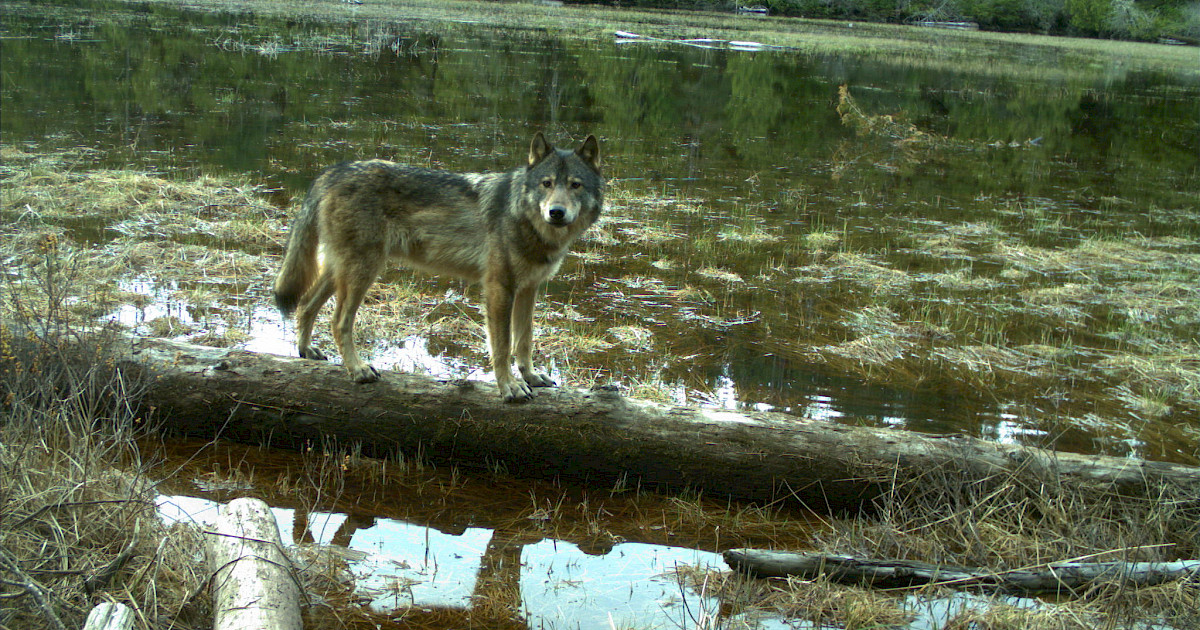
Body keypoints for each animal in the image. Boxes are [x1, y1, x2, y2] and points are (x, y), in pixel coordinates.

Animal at [273, 133, 603, 402]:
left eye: (575, 185)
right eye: (547, 184)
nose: (556, 212)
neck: (525, 220)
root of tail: (333, 170)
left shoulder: (528, 290)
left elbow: (524, 342)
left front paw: (531, 377)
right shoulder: (499, 289)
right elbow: (502, 347)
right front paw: (509, 387)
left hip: (341, 271)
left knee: (306, 305)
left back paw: (306, 352)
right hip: (362, 272)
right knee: (338, 321)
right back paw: (357, 369)